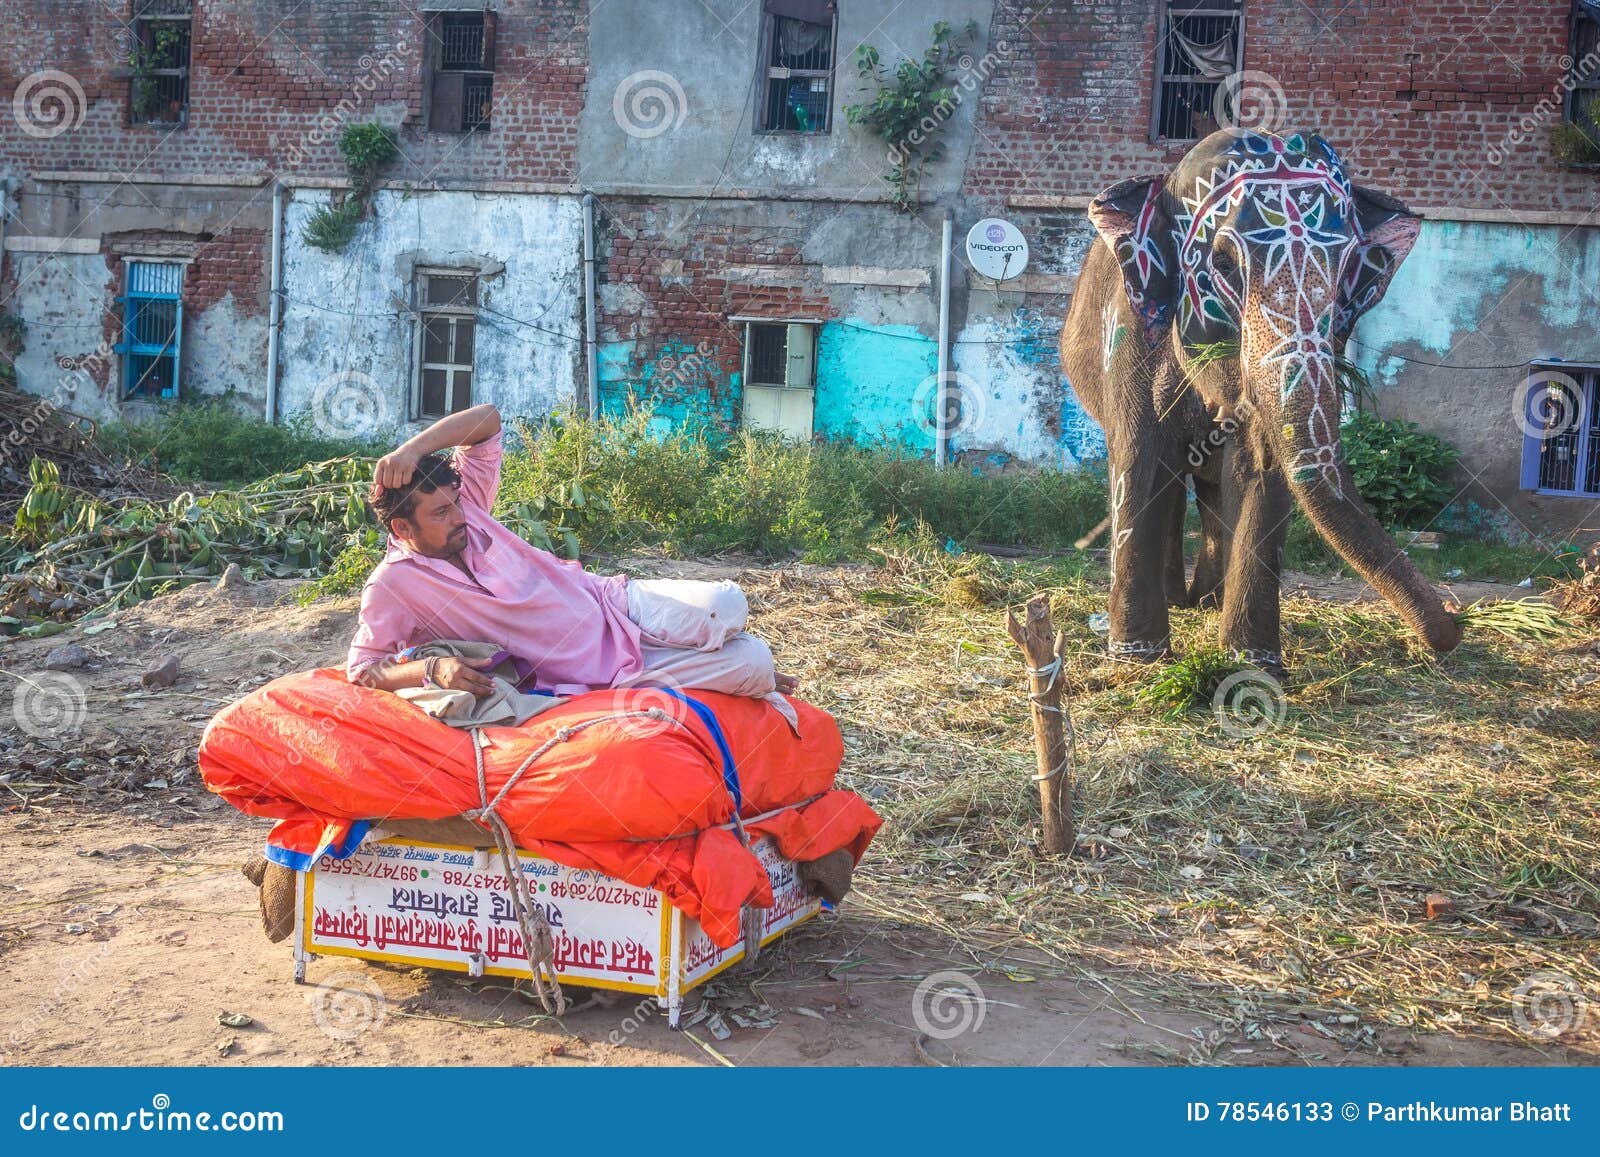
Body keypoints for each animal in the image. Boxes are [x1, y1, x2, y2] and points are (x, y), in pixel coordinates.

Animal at [1059, 128, 1462, 675]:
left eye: (1345, 275)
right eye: (1223, 263)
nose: (1457, 624)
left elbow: (1257, 467)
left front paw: (1251, 665)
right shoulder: (1129, 329)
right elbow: (1139, 457)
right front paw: (1139, 661)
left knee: (1209, 487)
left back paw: (1205, 603)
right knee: (1169, 478)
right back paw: (1180, 602)